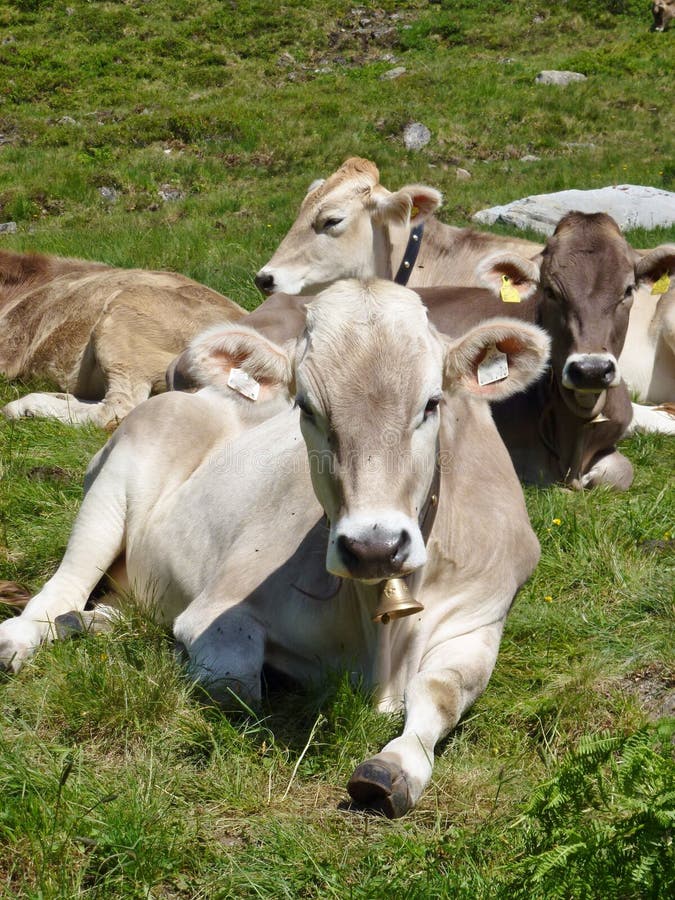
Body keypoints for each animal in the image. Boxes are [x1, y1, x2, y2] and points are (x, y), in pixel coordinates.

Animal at [0, 279, 550, 818]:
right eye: (305, 406)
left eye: (433, 403)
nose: (374, 547)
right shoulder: (219, 606)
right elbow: (235, 683)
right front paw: (186, 659)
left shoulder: (480, 619)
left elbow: (440, 693)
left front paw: (396, 765)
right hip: (113, 483)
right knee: (62, 591)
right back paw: (19, 639)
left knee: (106, 610)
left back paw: (89, 626)